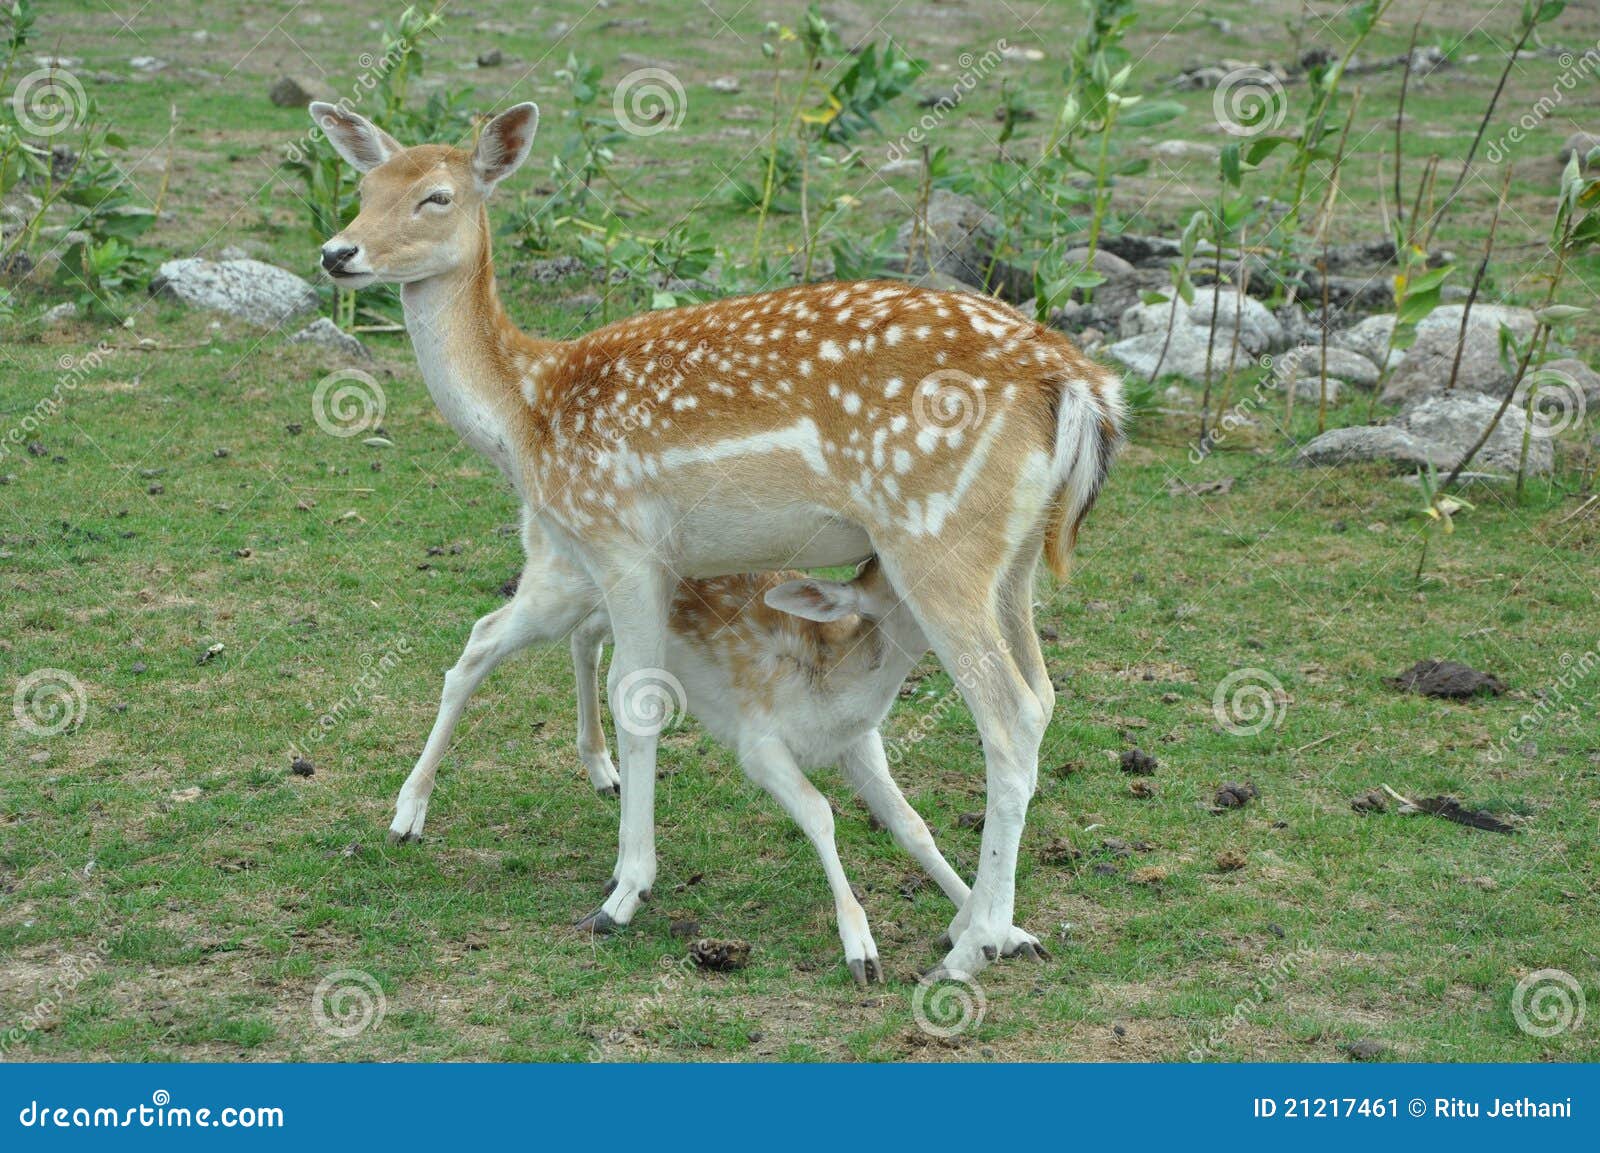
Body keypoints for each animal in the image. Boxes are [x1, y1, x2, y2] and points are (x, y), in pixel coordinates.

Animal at [389, 544, 999, 984]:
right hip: (552, 590)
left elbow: (911, 824)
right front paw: (861, 951)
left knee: (587, 644)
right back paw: (408, 815)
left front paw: (994, 927)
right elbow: (820, 813)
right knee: (478, 644)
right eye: (911, 577)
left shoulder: (859, 743)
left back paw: (604, 774)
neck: (833, 684)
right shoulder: (758, 742)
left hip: (607, 615)